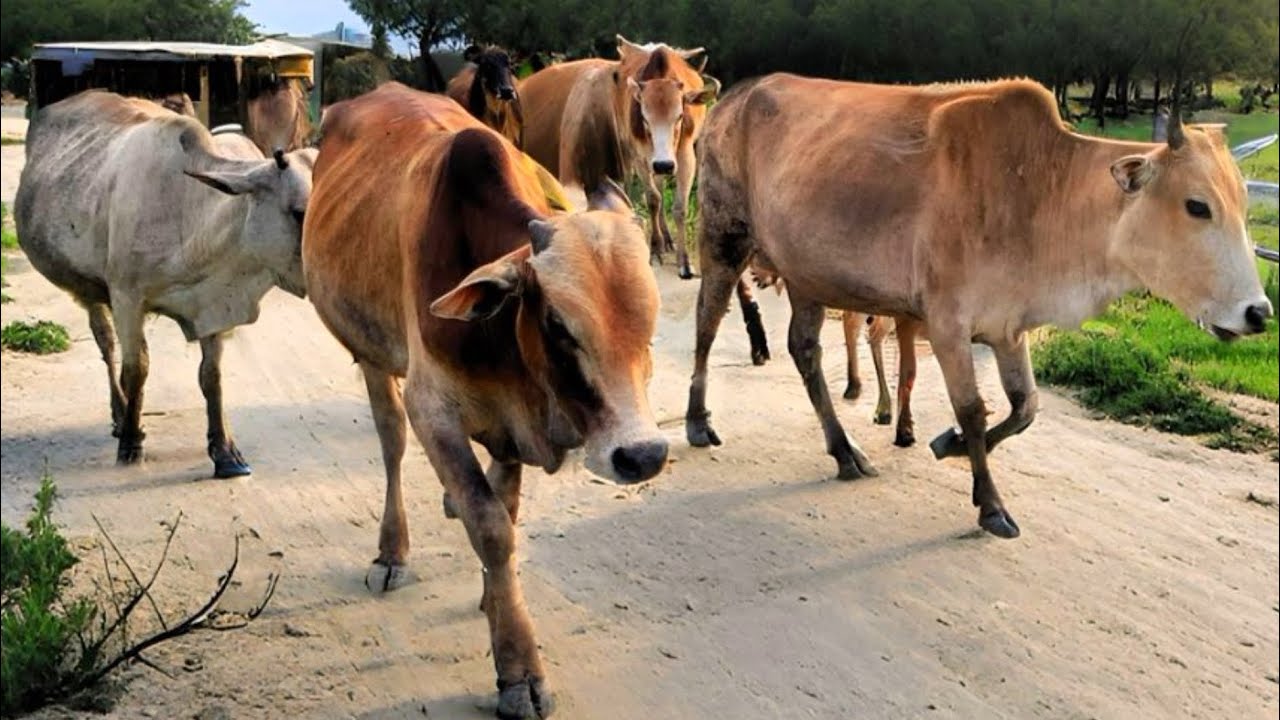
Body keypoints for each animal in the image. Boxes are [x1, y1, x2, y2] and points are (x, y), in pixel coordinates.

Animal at [14, 90, 317, 478]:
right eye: (299, 212)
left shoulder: (213, 306)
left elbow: (211, 376)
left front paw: (224, 451)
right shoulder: (127, 297)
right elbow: (137, 369)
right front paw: (132, 442)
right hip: (89, 288)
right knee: (106, 343)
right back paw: (120, 414)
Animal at [302, 83, 667, 719]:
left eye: (651, 320)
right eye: (558, 324)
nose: (641, 455)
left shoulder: (512, 420)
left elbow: (506, 509)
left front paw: (495, 602)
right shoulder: (433, 410)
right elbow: (494, 528)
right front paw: (519, 671)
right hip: (371, 353)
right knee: (391, 439)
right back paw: (392, 552)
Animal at [519, 35, 719, 279]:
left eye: (680, 116)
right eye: (644, 118)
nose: (663, 164)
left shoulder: (685, 152)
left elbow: (679, 207)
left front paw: (684, 262)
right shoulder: (639, 154)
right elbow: (653, 199)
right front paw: (655, 248)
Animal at [686, 75, 1272, 539]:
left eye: (1243, 204)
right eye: (1197, 206)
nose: (1258, 312)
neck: (1038, 189)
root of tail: (733, 96)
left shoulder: (1009, 329)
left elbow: (1024, 407)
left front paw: (948, 446)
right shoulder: (947, 324)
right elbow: (973, 409)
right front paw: (989, 502)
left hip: (806, 274)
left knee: (804, 350)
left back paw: (845, 451)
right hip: (724, 237)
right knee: (707, 326)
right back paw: (698, 423)